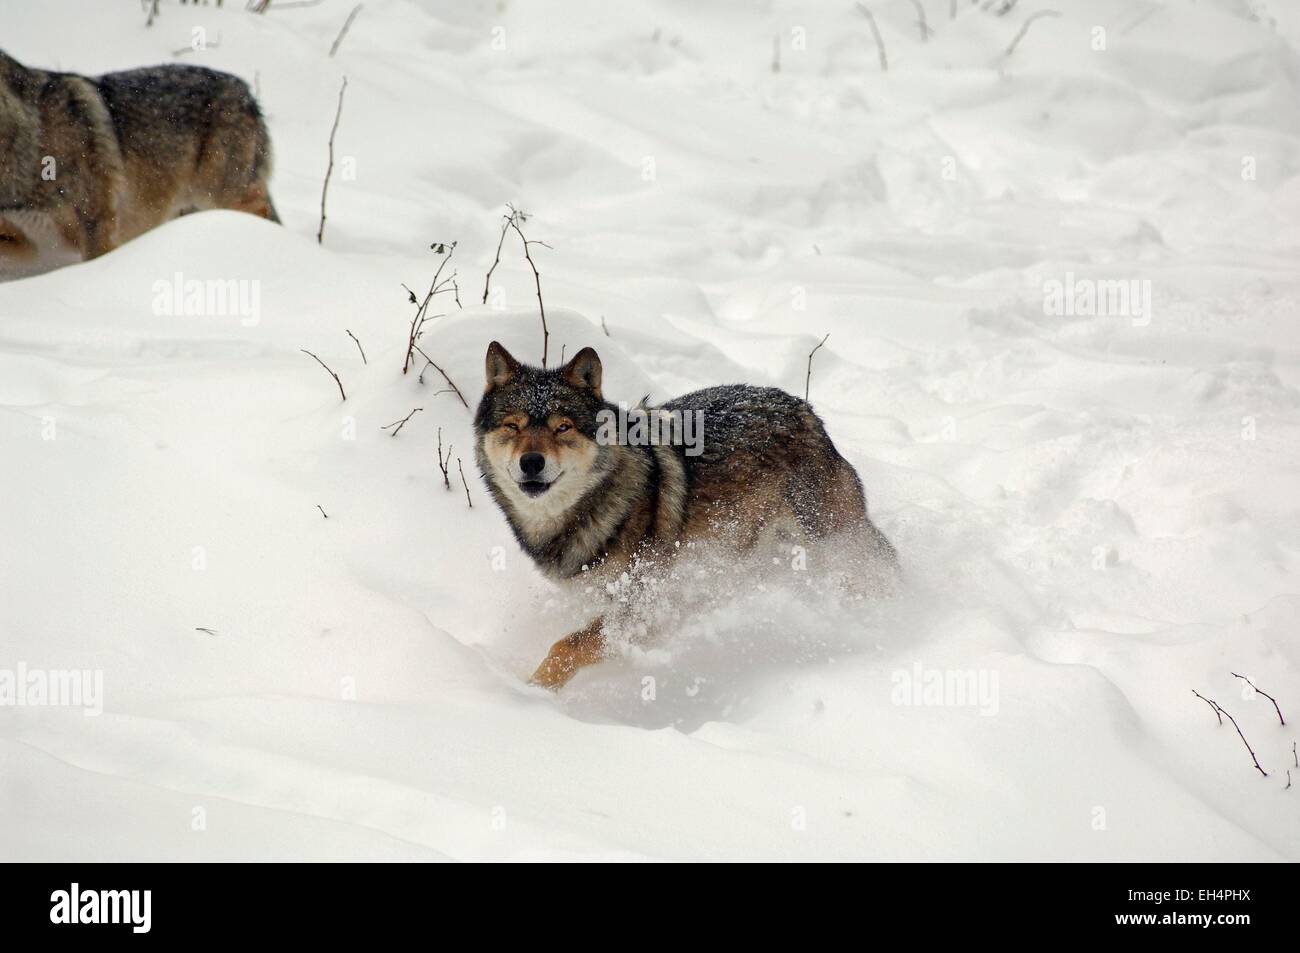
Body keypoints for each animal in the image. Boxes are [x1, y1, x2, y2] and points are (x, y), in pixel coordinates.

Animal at [474, 341, 898, 689]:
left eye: (563, 427)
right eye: (512, 426)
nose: (531, 462)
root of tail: (804, 408)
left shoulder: (644, 606)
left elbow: (565, 646)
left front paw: (531, 693)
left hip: (834, 542)